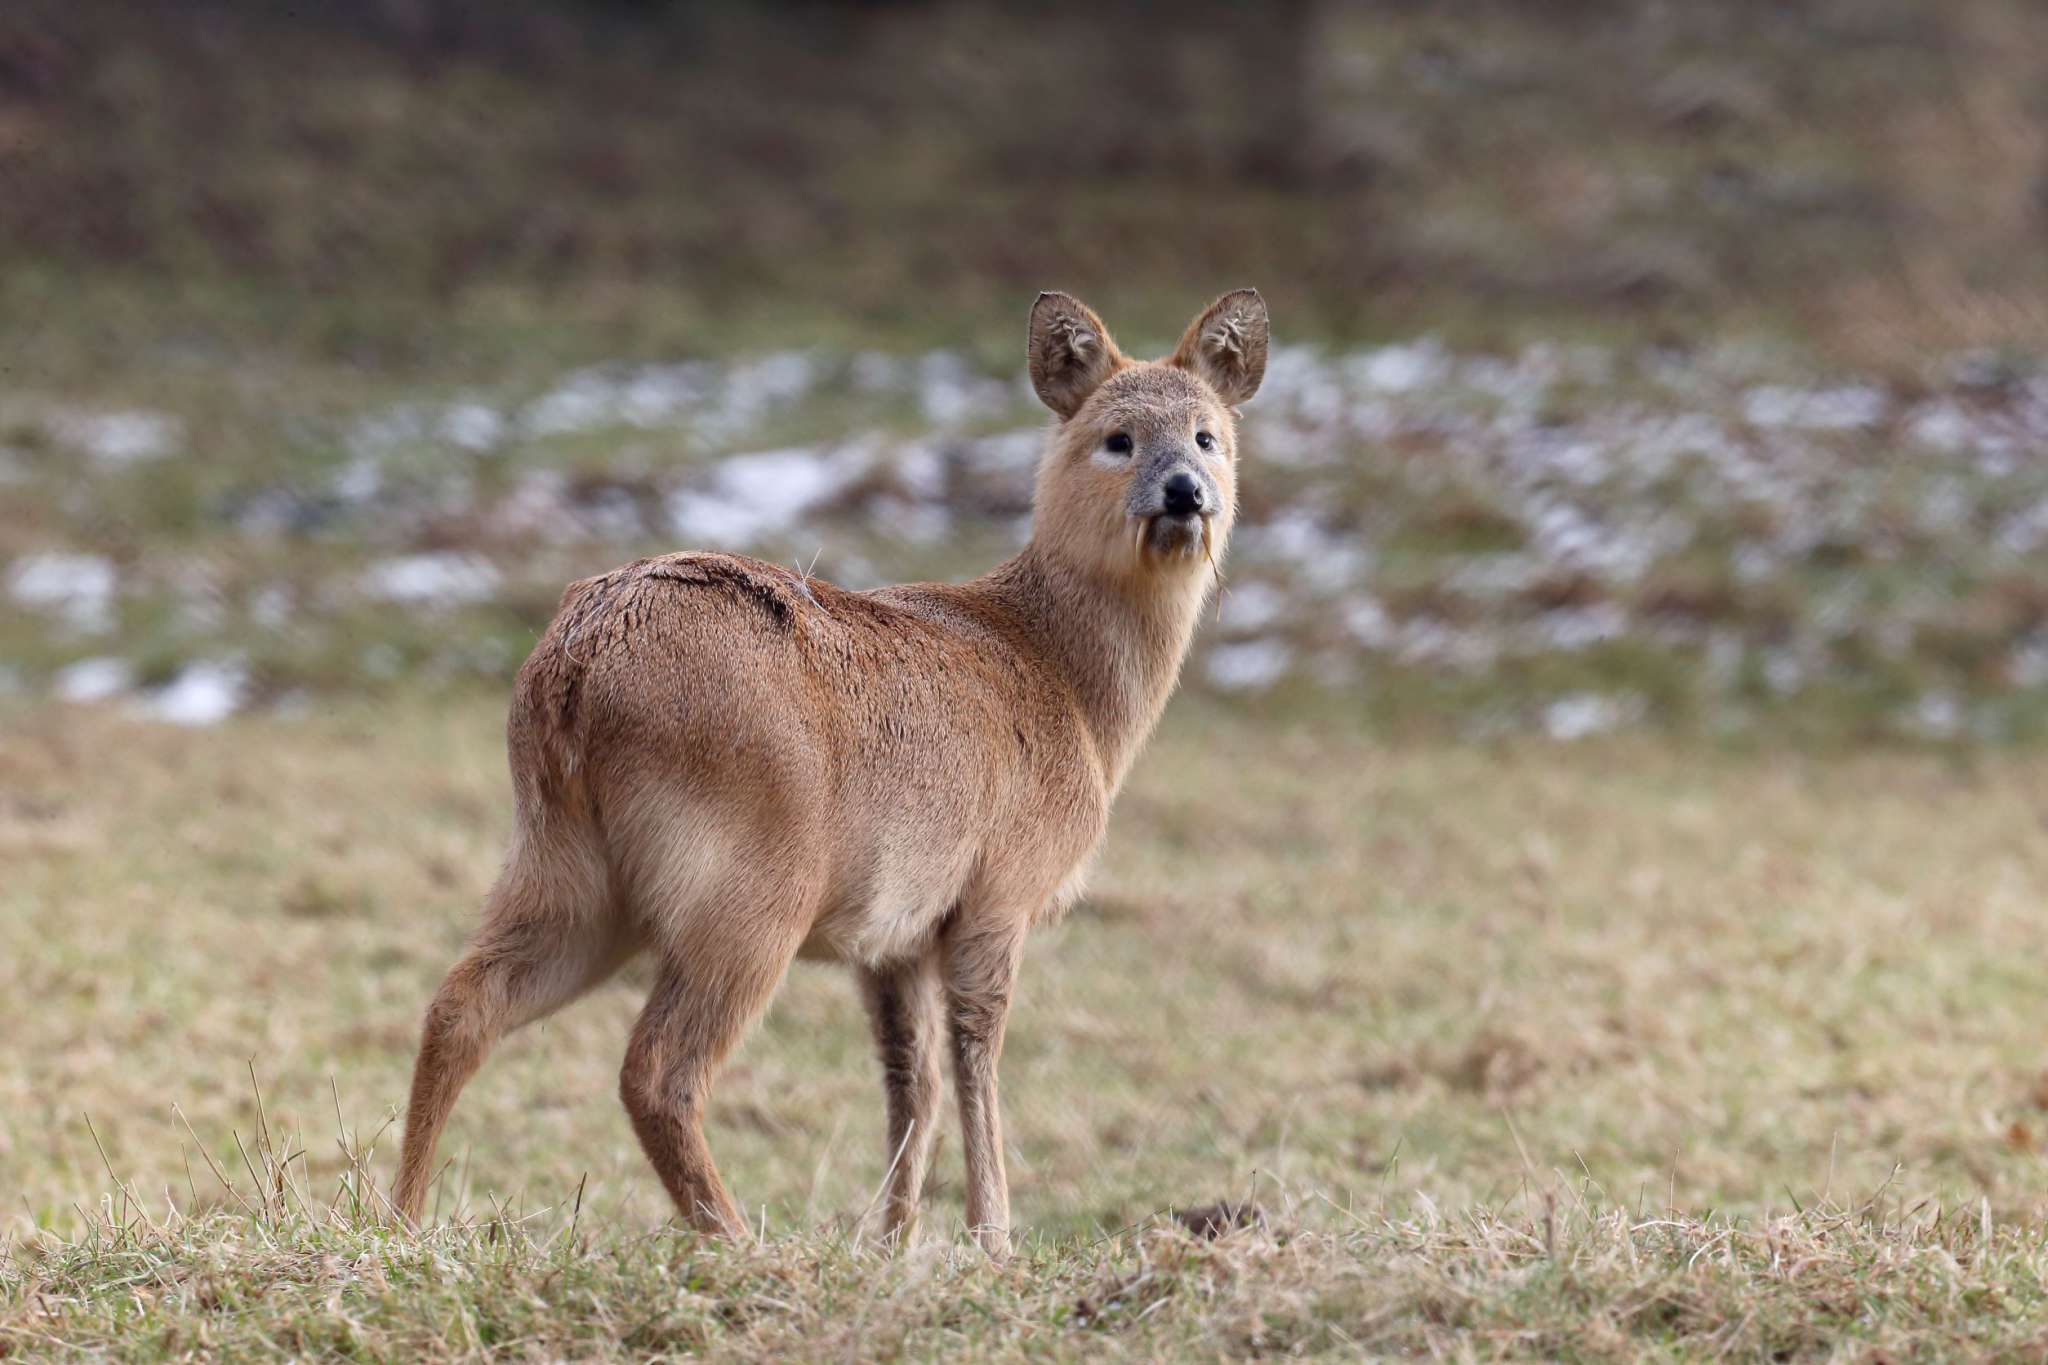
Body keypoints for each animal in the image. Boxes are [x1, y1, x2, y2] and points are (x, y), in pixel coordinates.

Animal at [391, 289, 1269, 1259]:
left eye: (1207, 435)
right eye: (1117, 437)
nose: (1185, 491)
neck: (1067, 684)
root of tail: (572, 668)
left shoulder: (891, 934)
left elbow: (910, 1078)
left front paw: (889, 1242)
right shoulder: (999, 890)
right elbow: (976, 1057)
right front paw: (992, 1239)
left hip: (565, 867)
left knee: (460, 1005)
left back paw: (402, 1220)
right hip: (747, 884)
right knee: (655, 1068)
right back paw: (738, 1240)